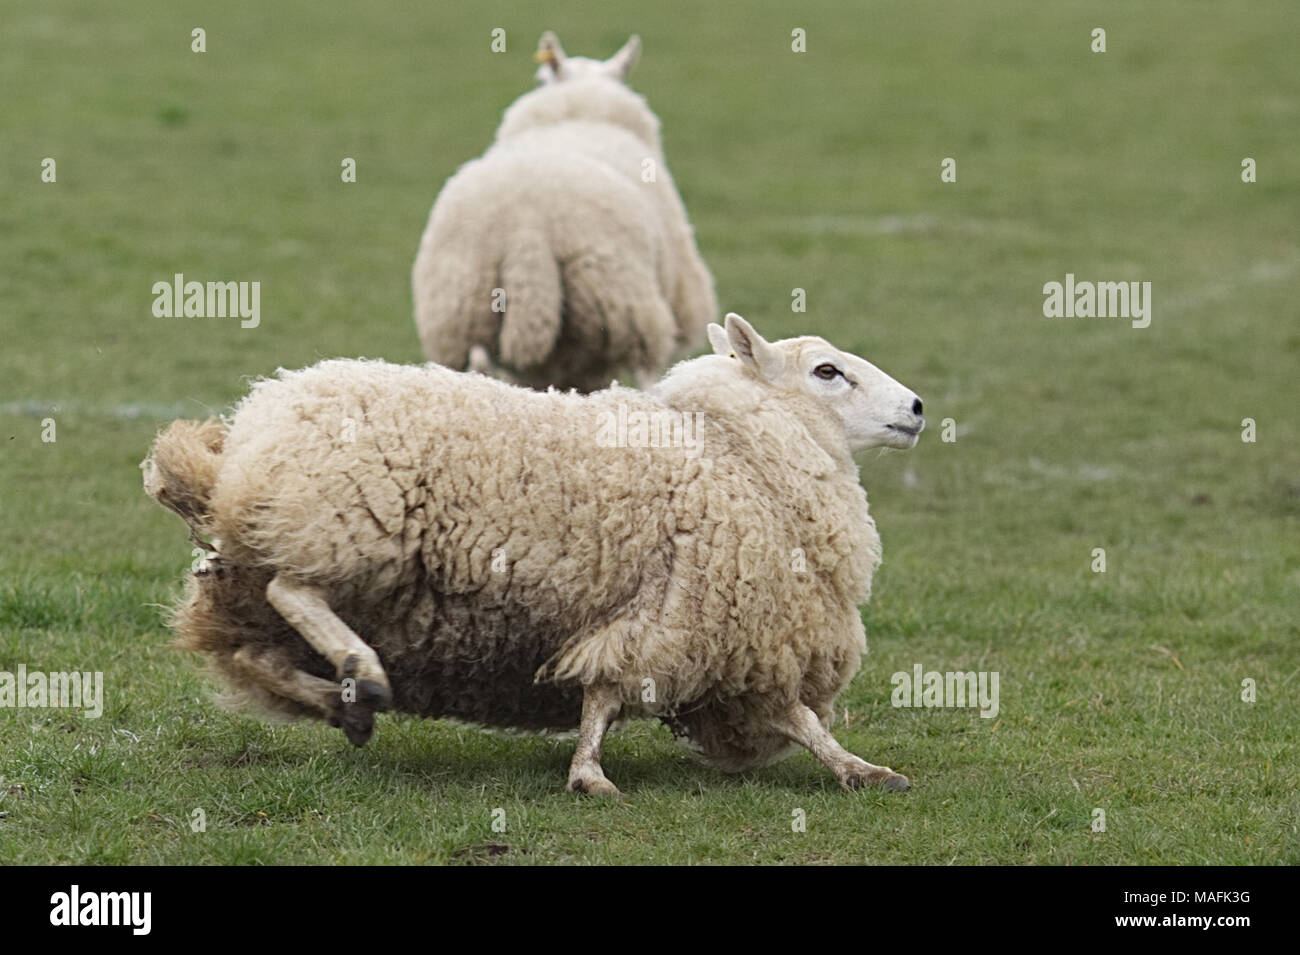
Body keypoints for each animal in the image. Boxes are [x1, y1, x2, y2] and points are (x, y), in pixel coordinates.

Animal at [142, 314, 924, 794]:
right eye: (827, 371)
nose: (917, 408)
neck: (737, 448)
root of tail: (246, 441)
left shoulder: (736, 639)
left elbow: (796, 716)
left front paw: (861, 769)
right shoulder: (684, 616)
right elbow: (610, 691)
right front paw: (589, 775)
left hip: (256, 572)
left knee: (257, 656)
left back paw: (344, 704)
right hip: (344, 530)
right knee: (295, 594)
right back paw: (363, 673)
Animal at [411, 31, 717, 393]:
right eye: (539, 78)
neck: (580, 114)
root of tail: (525, 226)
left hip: (459, 308)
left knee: (476, 366)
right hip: (626, 301)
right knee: (647, 371)